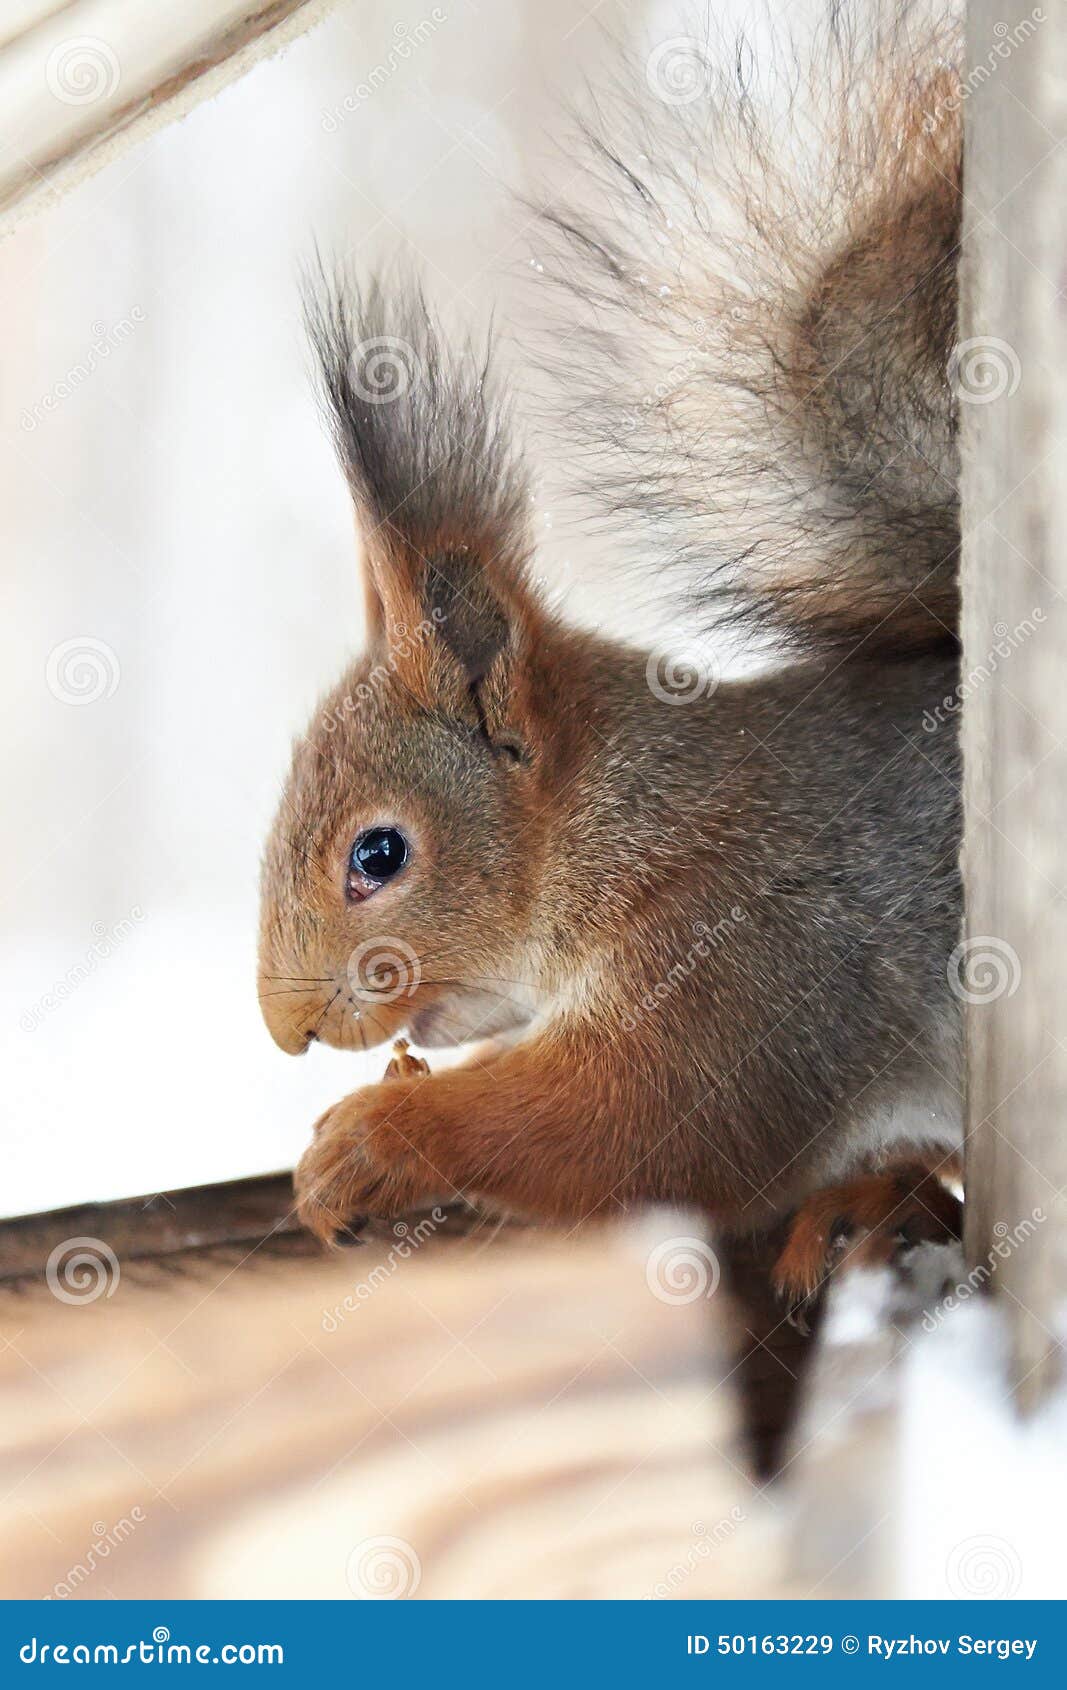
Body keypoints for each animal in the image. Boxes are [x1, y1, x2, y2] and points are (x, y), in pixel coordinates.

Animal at [258, 3, 966, 1298]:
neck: (623, 816)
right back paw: (869, 1206)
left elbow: (634, 1123)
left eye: (377, 855)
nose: (288, 1029)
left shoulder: (752, 946)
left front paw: (375, 1140)